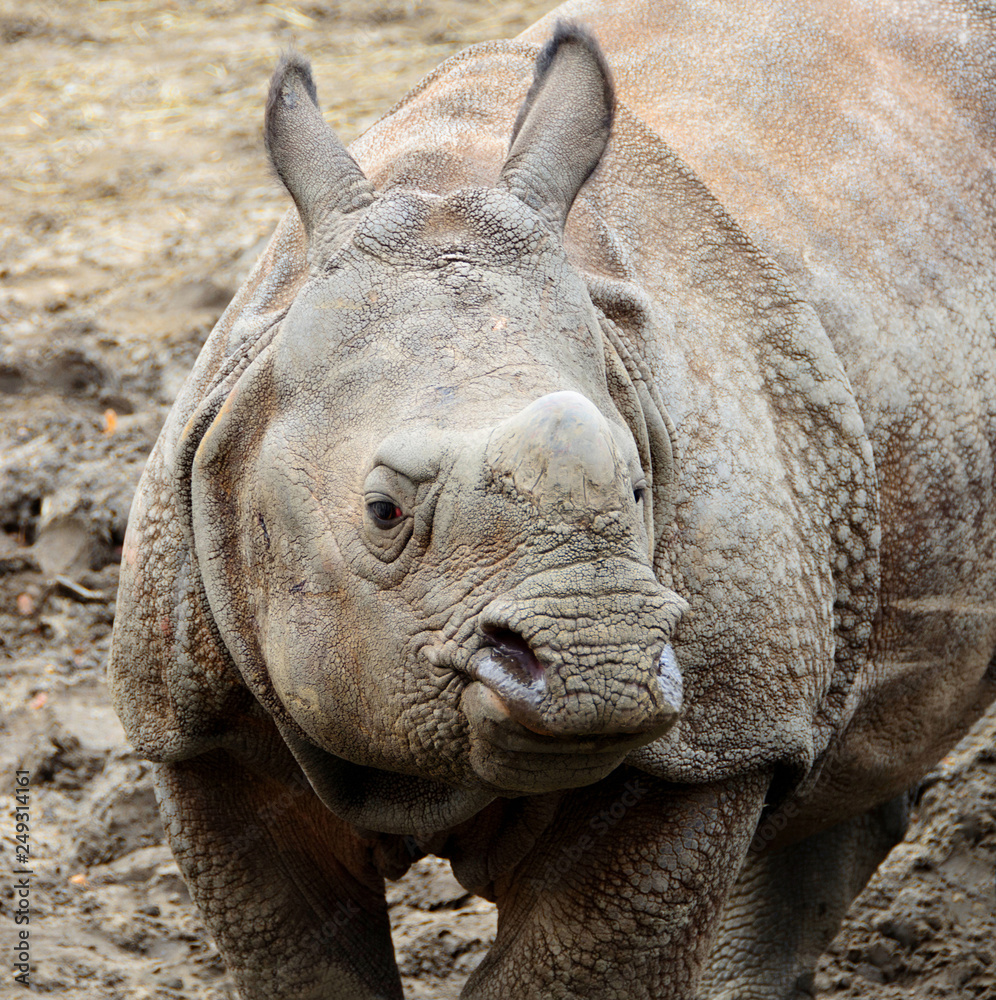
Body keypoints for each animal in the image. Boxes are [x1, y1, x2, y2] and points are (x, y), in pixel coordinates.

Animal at [108, 1, 996, 997]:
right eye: (382, 512)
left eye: (643, 488)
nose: (597, 658)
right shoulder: (193, 731)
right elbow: (301, 963)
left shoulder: (722, 737)